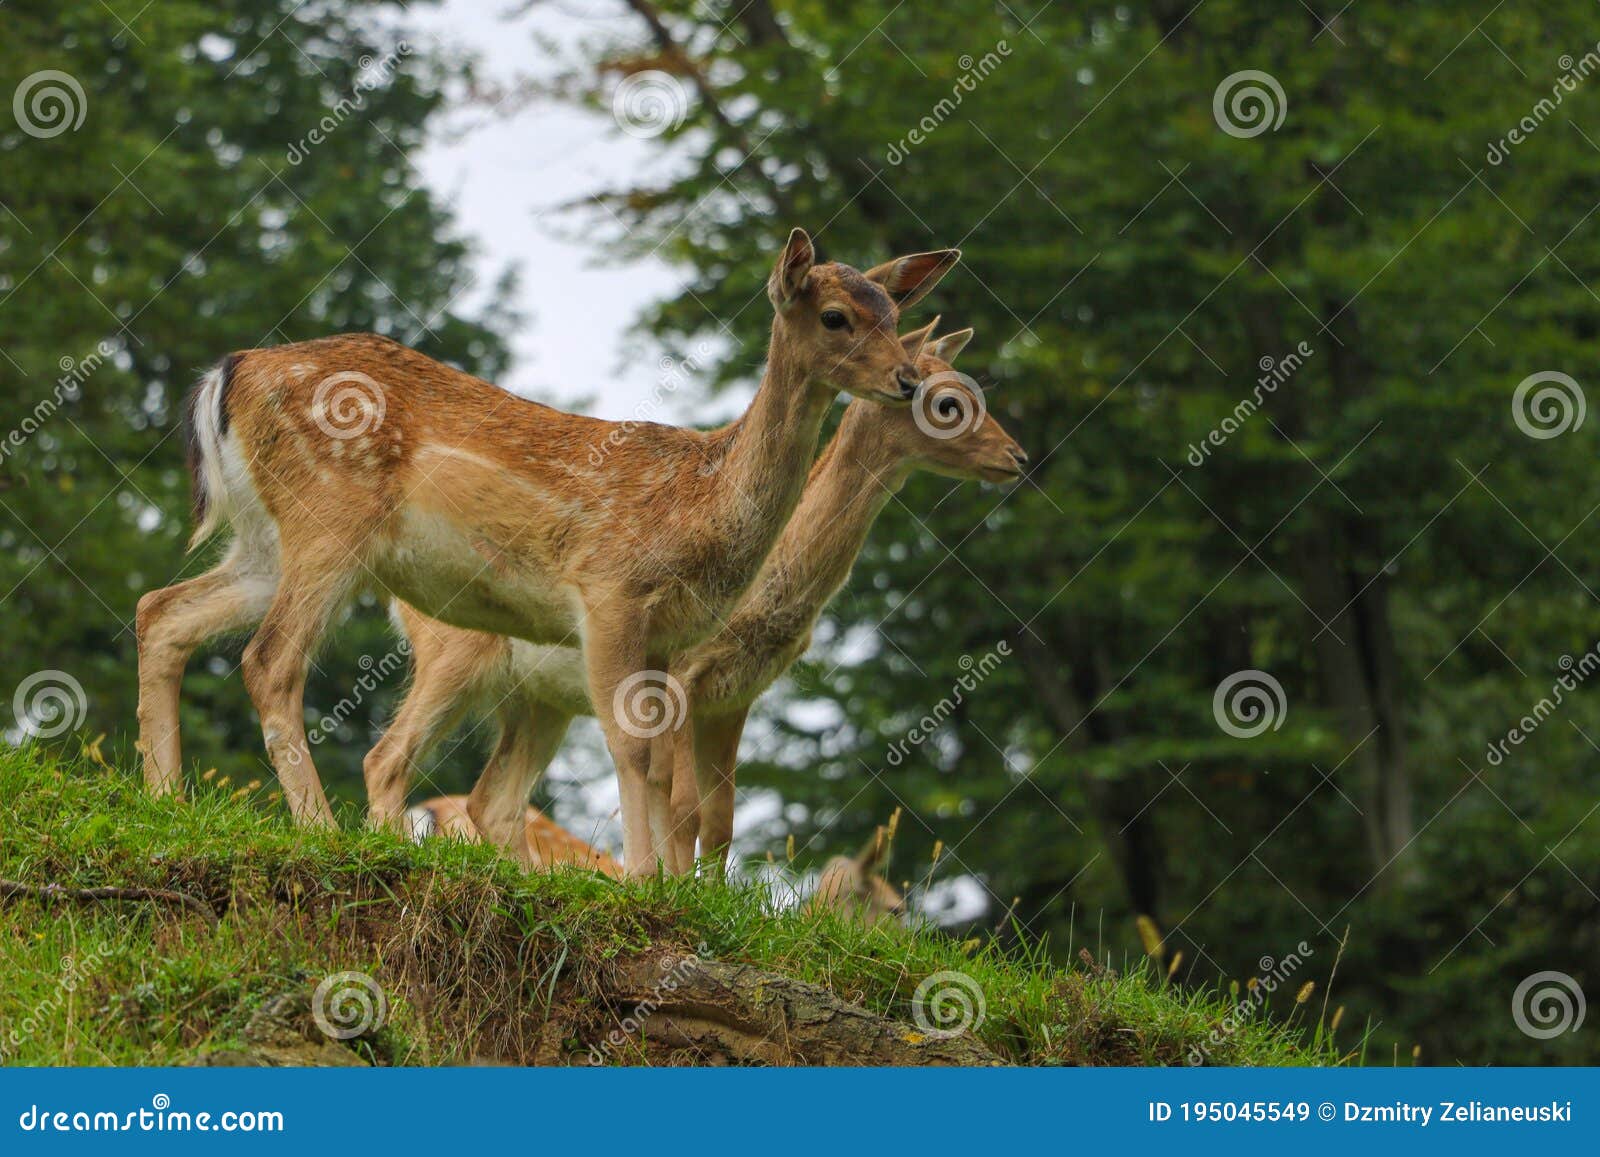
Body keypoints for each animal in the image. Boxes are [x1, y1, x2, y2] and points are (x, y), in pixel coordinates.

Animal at [361, 325, 1025, 871]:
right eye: (945, 402)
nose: (1016, 457)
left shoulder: (735, 696)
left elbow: (721, 820)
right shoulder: (683, 671)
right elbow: (683, 807)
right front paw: (674, 890)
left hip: (538, 699)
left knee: (492, 800)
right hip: (454, 653)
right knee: (391, 755)